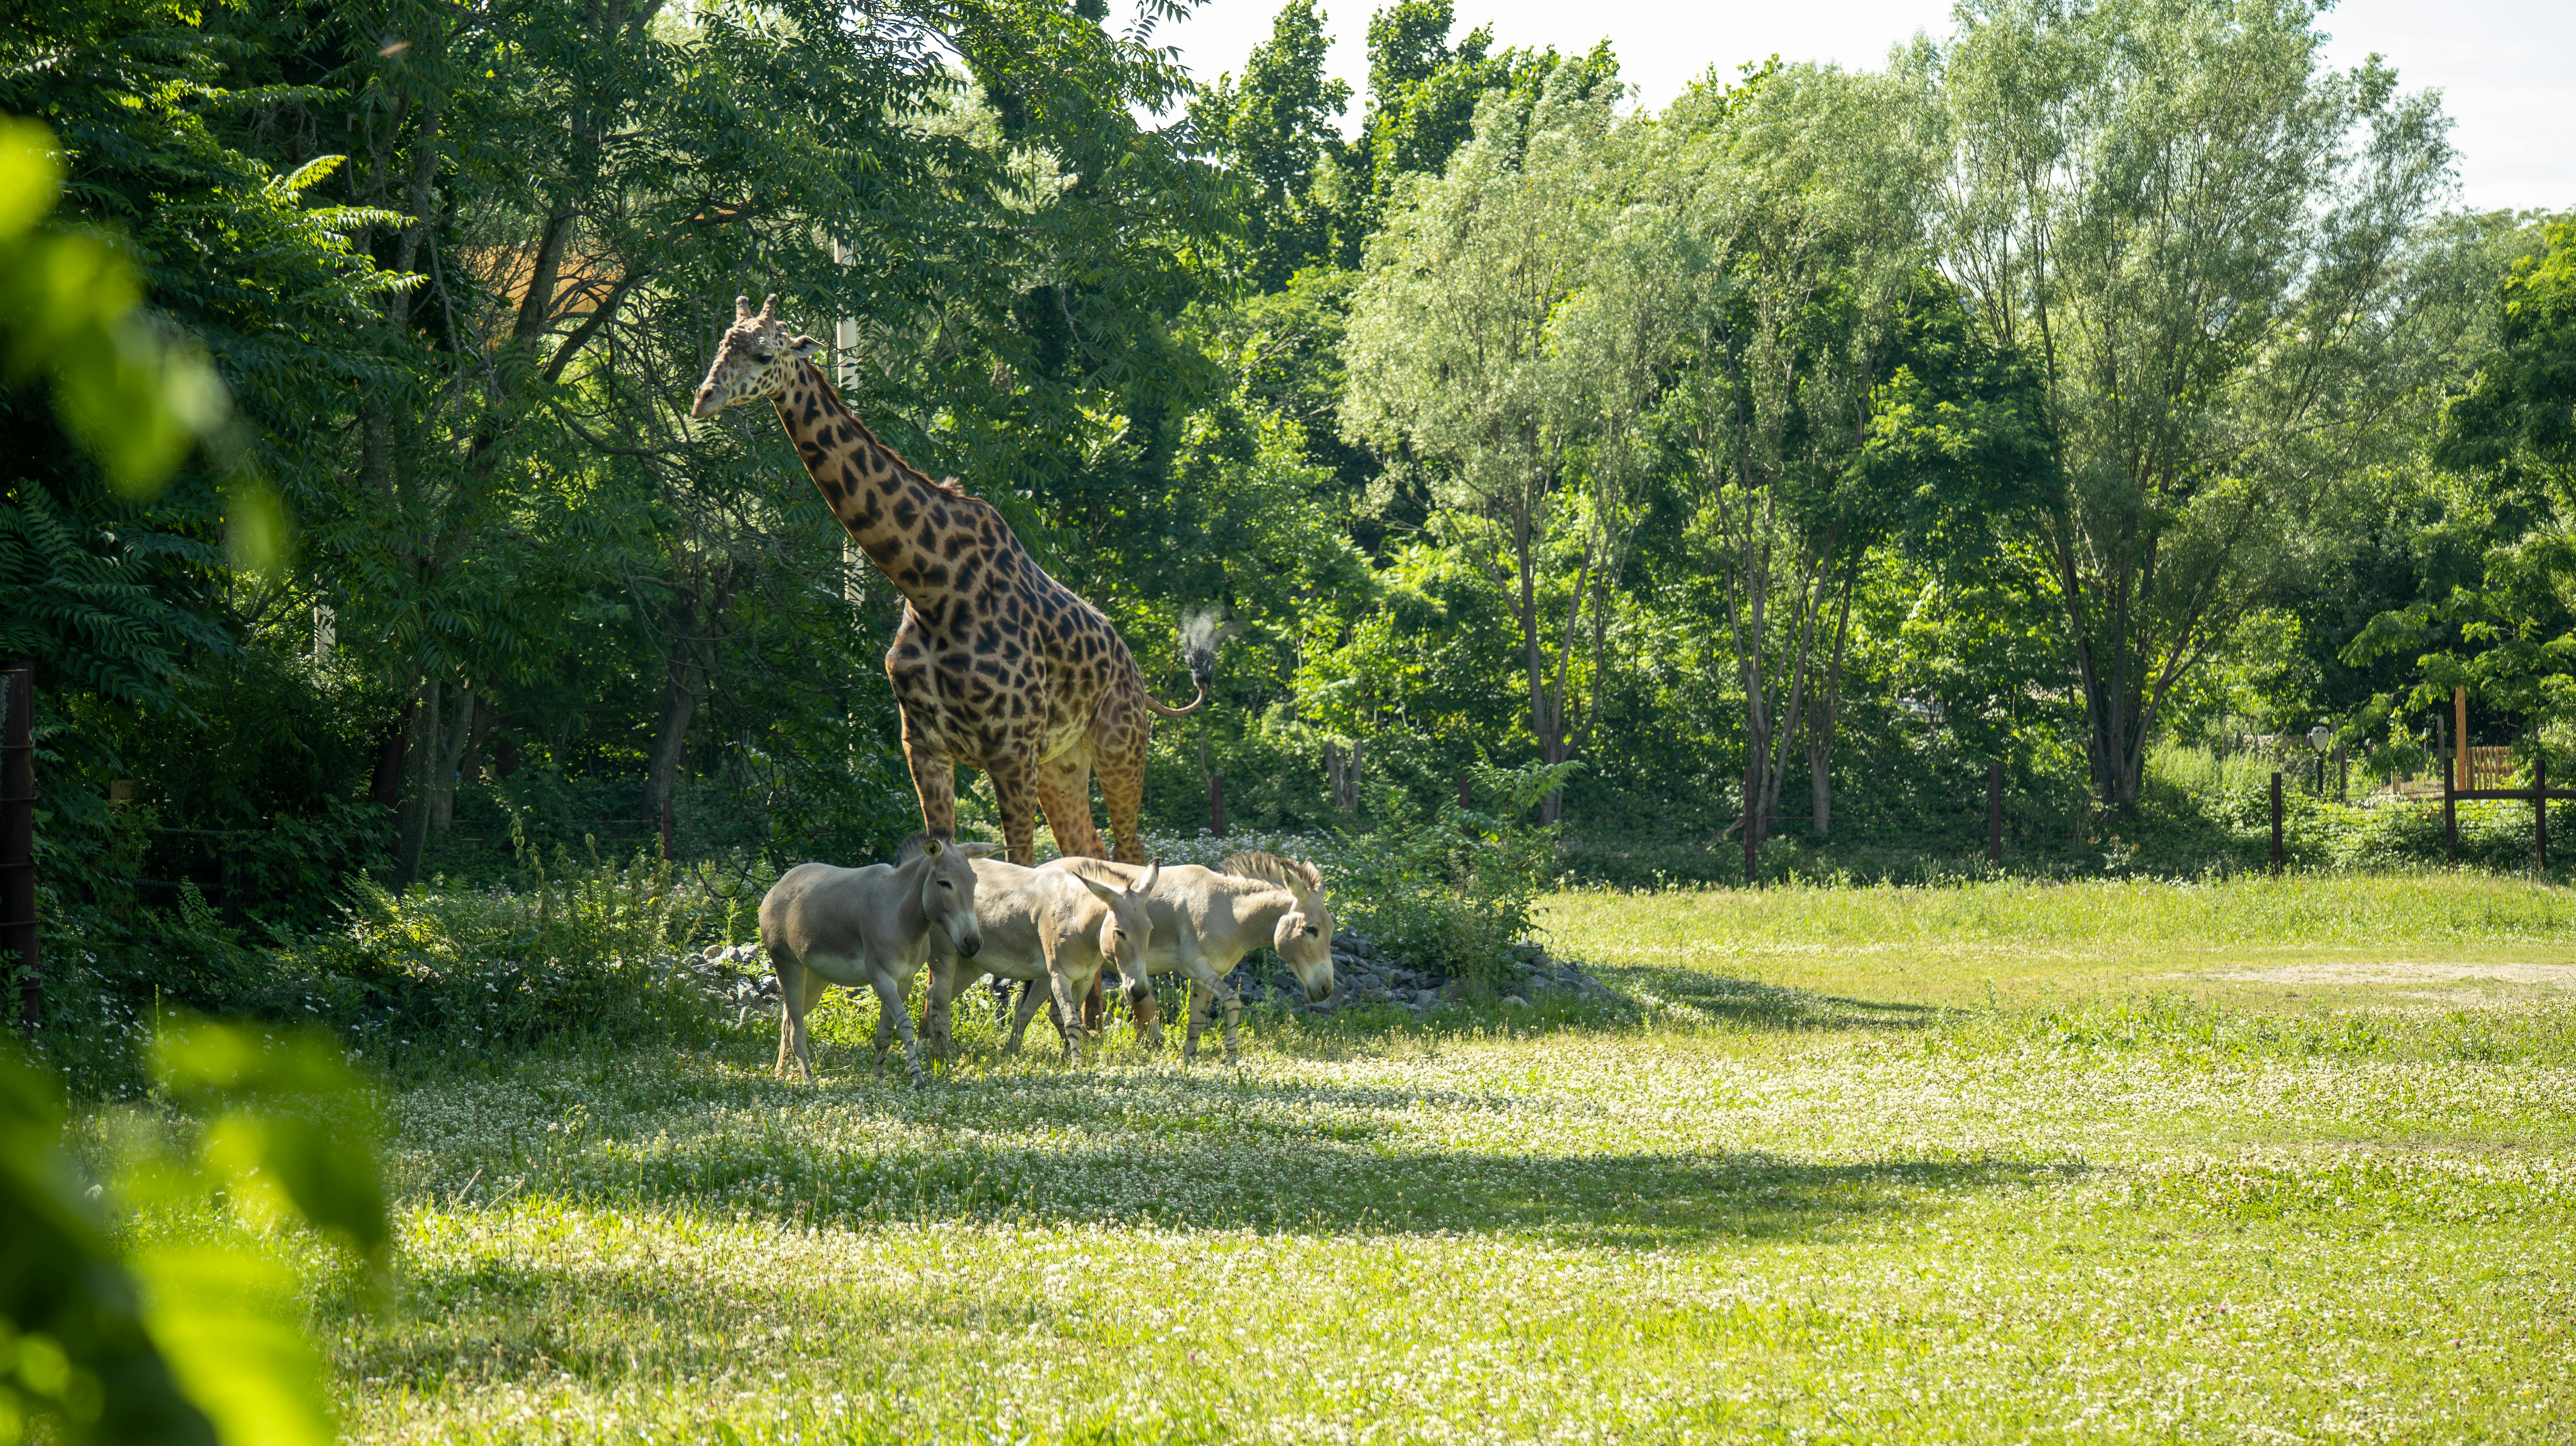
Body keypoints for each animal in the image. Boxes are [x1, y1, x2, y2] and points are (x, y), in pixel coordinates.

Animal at [690, 294, 1202, 885]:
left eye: (763, 352)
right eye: (723, 345)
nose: (704, 399)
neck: (931, 585)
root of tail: (1134, 669)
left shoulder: (1010, 750)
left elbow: (1018, 863)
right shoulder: (925, 746)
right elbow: (939, 855)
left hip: (1119, 742)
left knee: (1131, 849)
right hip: (1063, 760)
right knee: (1088, 846)